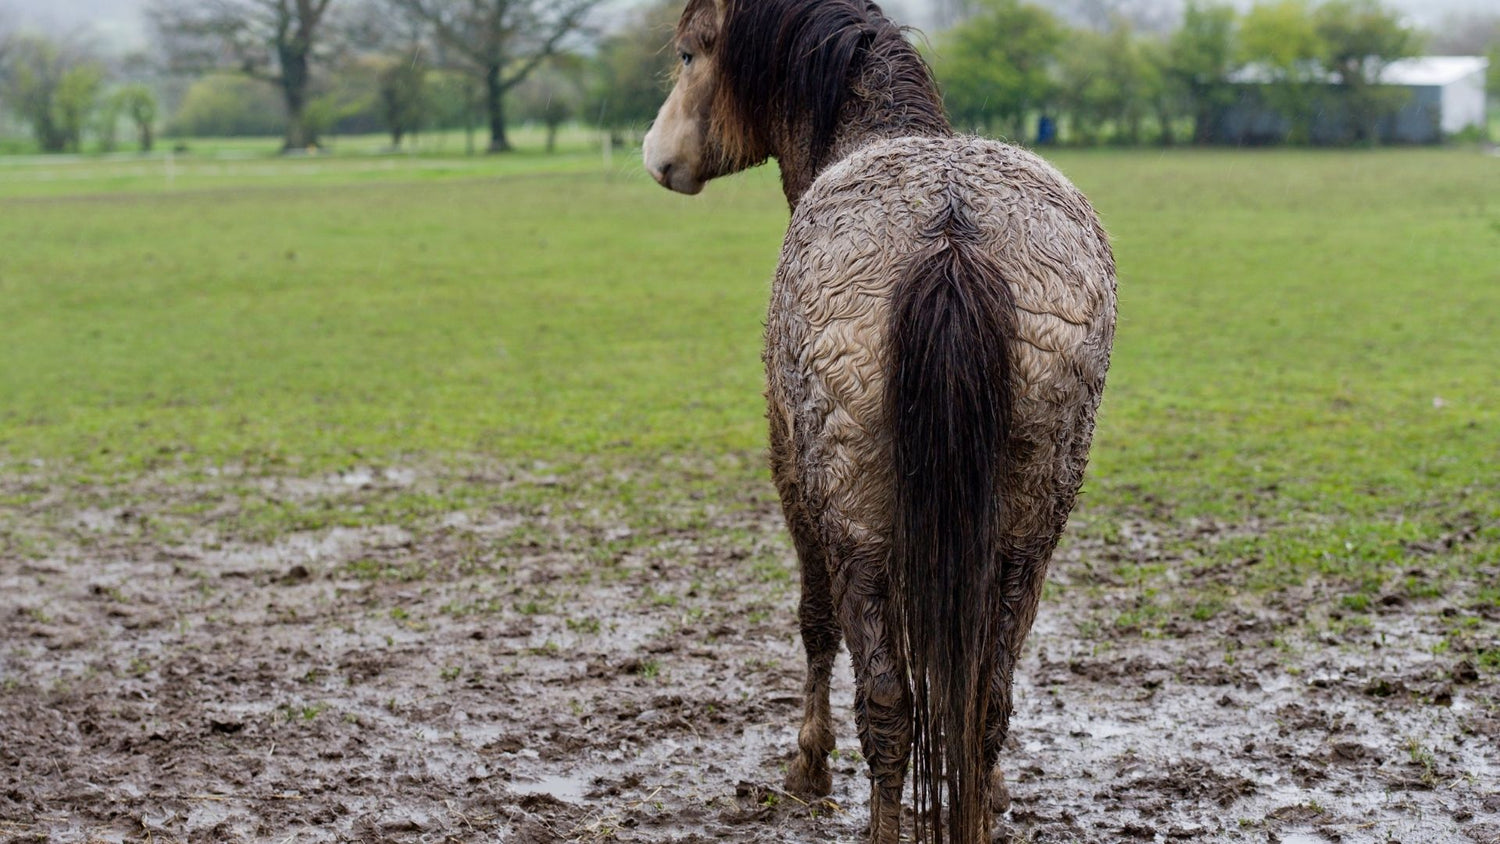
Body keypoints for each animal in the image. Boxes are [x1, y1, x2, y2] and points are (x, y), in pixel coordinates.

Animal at [642, 1, 1117, 841]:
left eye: (691, 53)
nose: (658, 156)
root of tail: (952, 235)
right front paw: (992, 790)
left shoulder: (792, 471)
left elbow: (814, 621)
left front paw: (808, 762)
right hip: (1029, 531)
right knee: (985, 699)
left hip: (855, 518)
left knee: (889, 700)